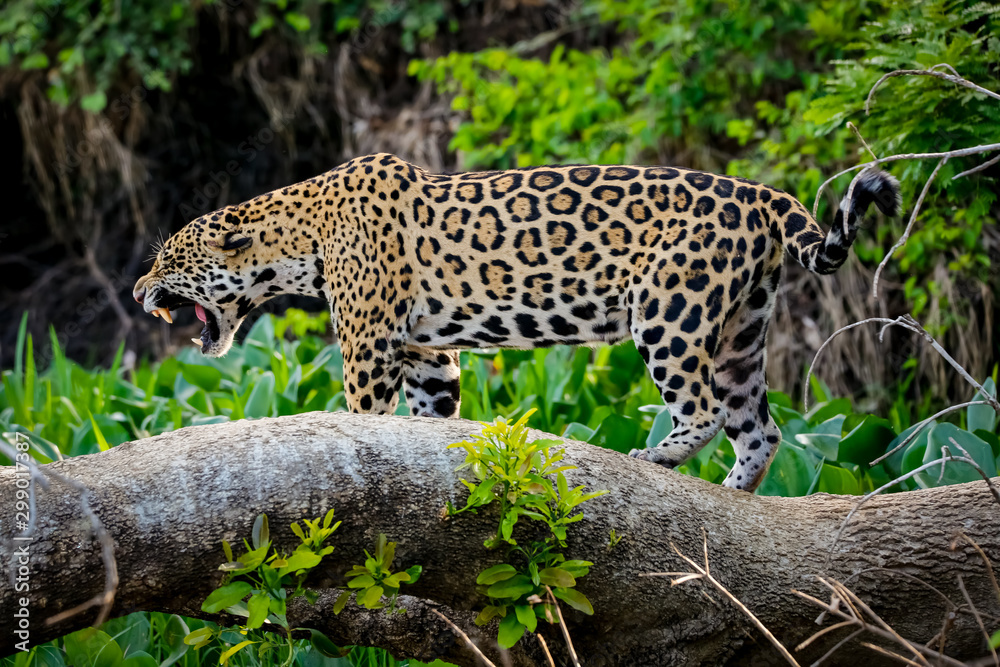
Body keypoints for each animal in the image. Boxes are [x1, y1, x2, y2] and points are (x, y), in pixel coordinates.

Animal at [133, 153, 899, 491]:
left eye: (169, 257)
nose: (139, 291)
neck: (299, 239)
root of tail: (764, 194)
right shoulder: (425, 354)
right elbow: (430, 417)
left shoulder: (368, 347)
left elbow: (362, 416)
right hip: (741, 329)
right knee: (761, 427)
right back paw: (732, 495)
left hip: (668, 311)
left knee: (703, 406)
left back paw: (653, 458)